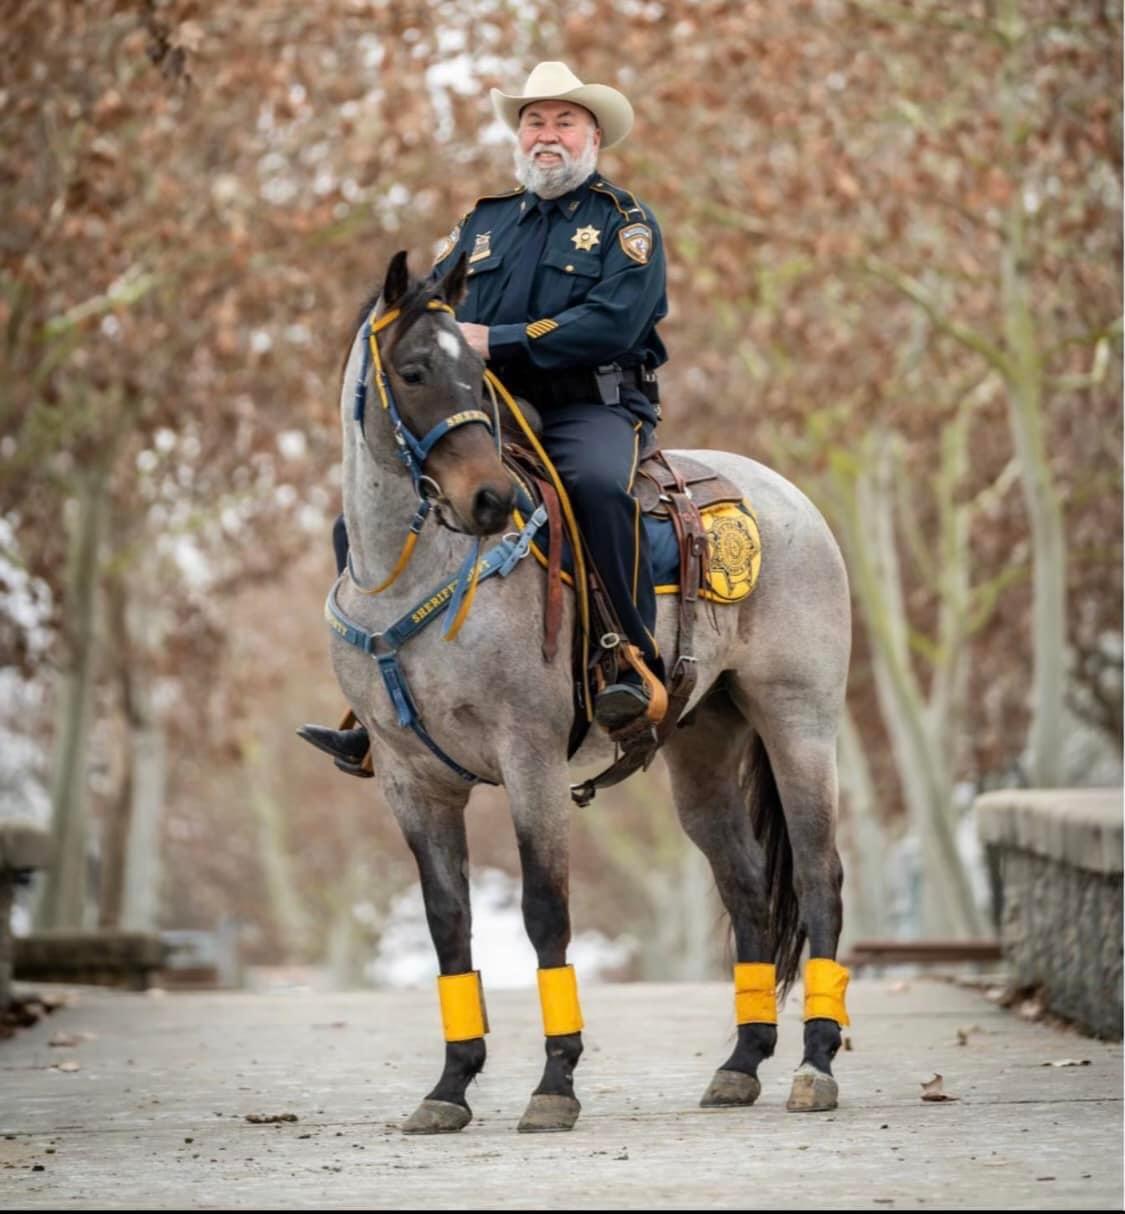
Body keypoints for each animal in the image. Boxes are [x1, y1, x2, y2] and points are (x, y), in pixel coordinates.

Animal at [326, 250, 852, 1134]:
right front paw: (450, 1086)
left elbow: (545, 910)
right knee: (746, 888)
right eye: (414, 370)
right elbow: (448, 925)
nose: (490, 500)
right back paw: (740, 1063)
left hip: (799, 723)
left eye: (478, 378)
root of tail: (784, 498)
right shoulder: (410, 780)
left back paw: (815, 1062)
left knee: (819, 878)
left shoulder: (528, 757)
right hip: (703, 749)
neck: (411, 577)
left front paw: (554, 1082)